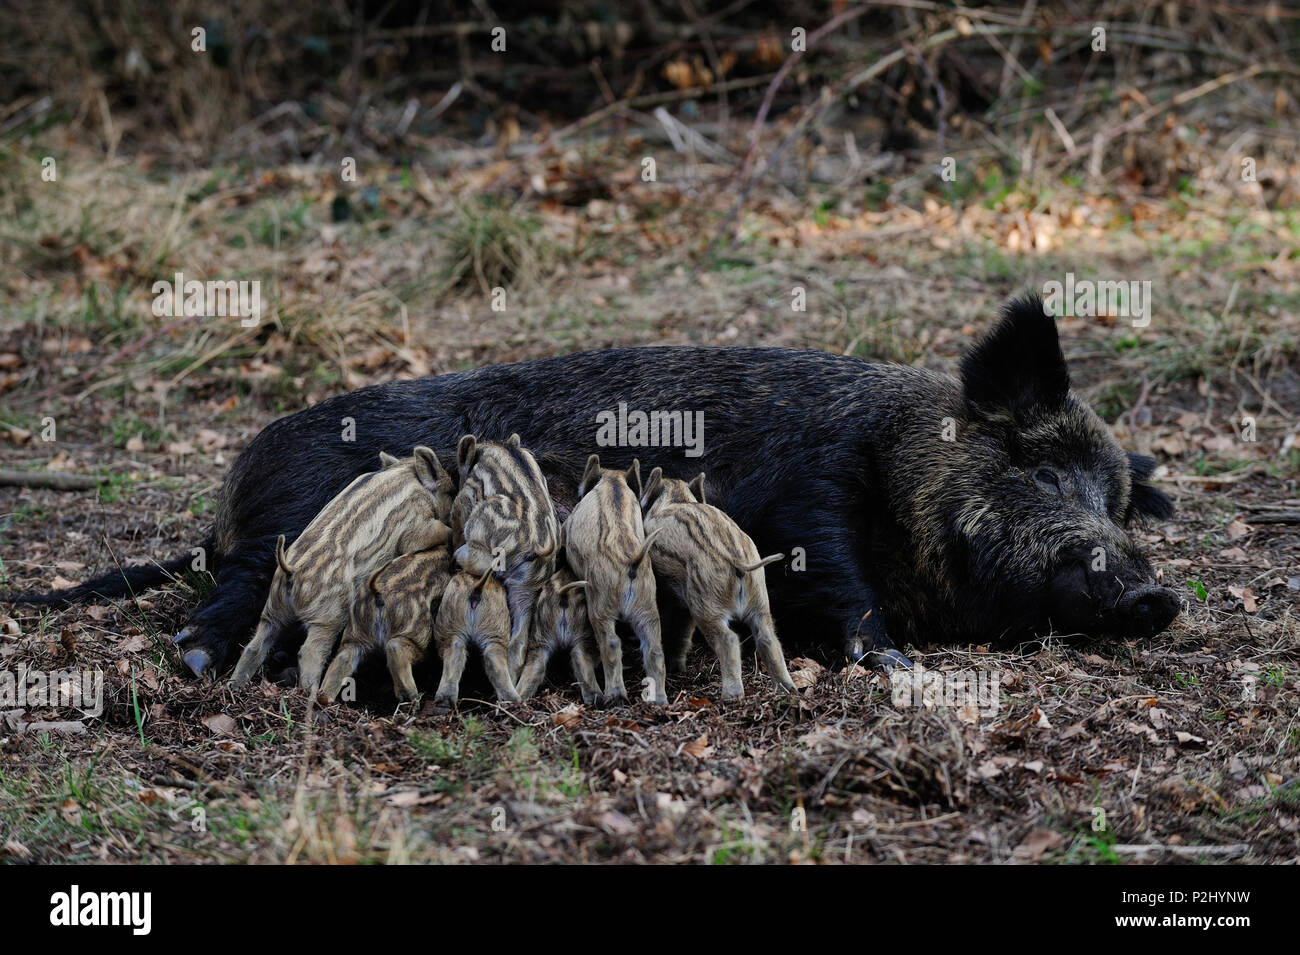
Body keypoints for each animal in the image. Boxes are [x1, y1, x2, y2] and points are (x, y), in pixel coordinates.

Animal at [317, 547, 454, 704]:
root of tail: (376, 591)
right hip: (416, 631)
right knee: (396, 648)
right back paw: (411, 698)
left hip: (356, 632)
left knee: (343, 657)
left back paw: (324, 698)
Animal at [564, 454, 666, 705]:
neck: (613, 480)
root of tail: (632, 563)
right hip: (647, 606)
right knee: (655, 649)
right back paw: (660, 701)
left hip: (600, 607)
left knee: (611, 643)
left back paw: (614, 696)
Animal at [640, 467, 796, 698]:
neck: (677, 497)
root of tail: (738, 562)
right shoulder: (684, 604)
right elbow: (683, 632)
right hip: (760, 600)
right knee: (769, 639)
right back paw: (788, 689)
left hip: (707, 607)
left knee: (729, 640)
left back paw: (731, 695)